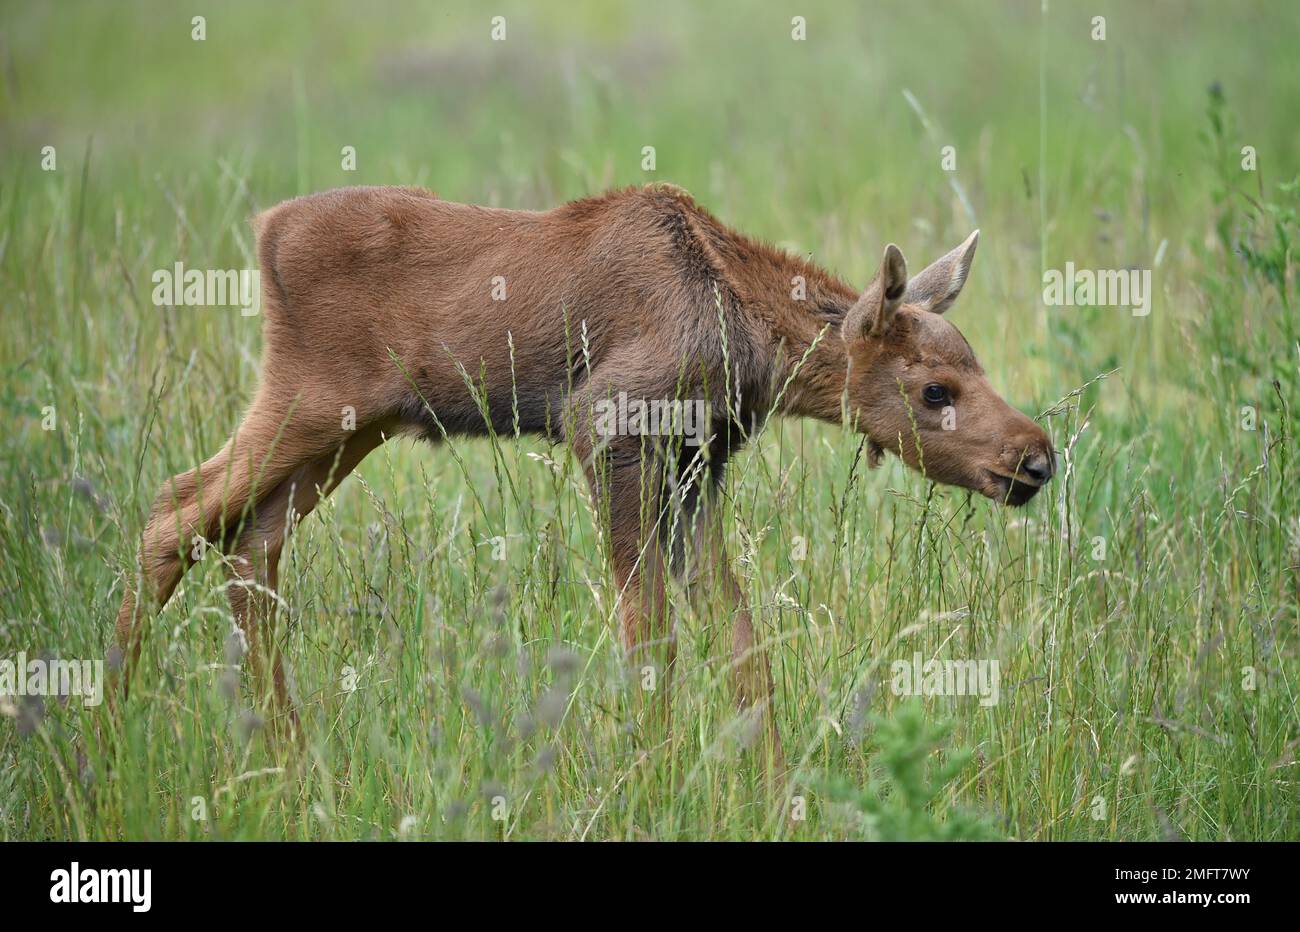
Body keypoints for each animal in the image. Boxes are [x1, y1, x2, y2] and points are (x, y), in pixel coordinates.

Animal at [113, 184, 1054, 766]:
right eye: (935, 389)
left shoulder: (701, 460)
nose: (1036, 459)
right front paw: (653, 777)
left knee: (248, 542)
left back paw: (289, 755)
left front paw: (770, 788)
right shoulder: (606, 428)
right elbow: (653, 639)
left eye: (972, 363)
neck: (744, 341)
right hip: (308, 399)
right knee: (173, 511)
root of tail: (265, 227)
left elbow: (742, 643)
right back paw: (108, 725)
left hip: (352, 430)